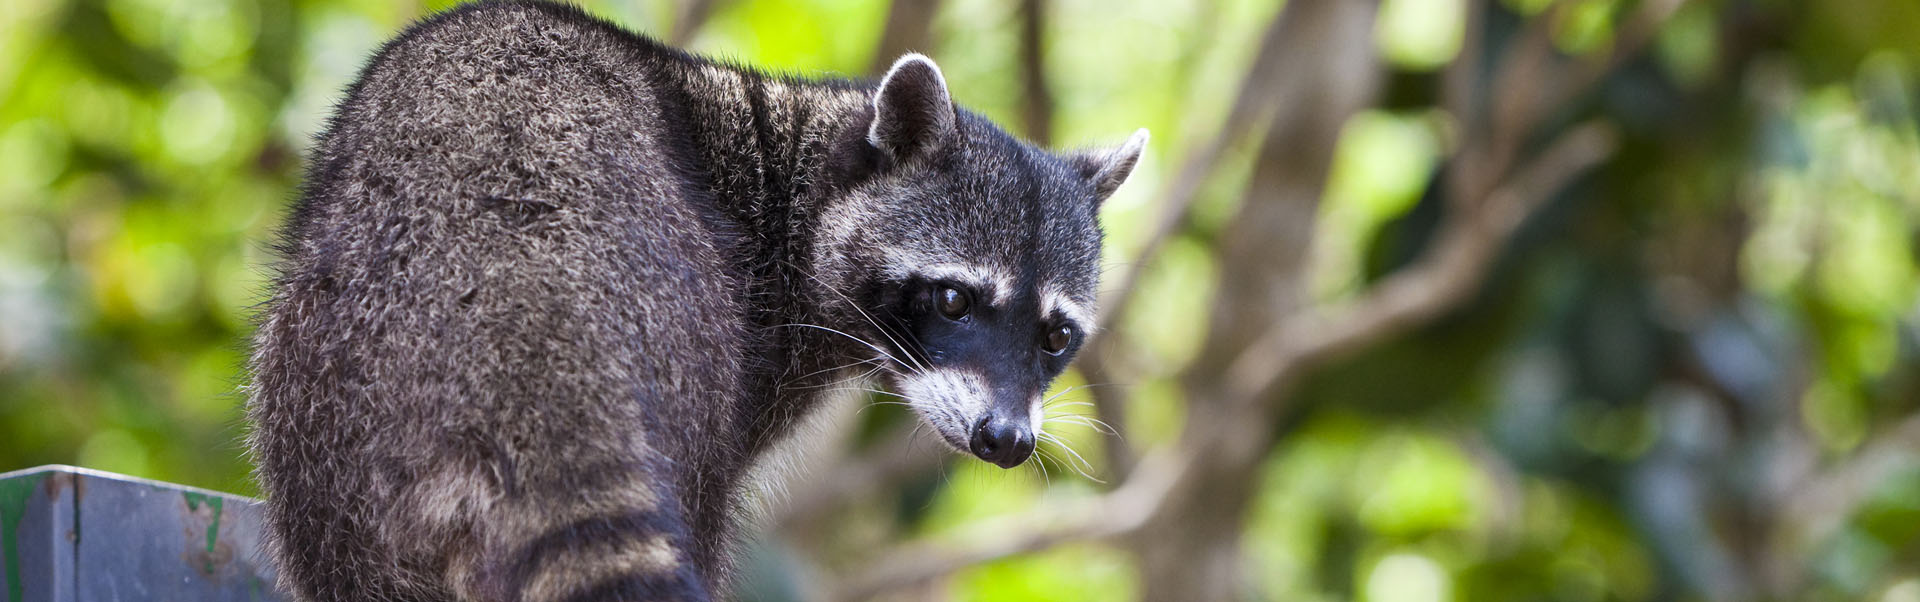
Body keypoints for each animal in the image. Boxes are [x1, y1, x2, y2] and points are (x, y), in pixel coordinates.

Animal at [246, 1, 1146, 600]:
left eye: (1056, 336)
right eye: (955, 300)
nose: (1007, 439)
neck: (799, 167)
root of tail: (521, 283)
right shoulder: (756, 331)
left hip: (339, 413)